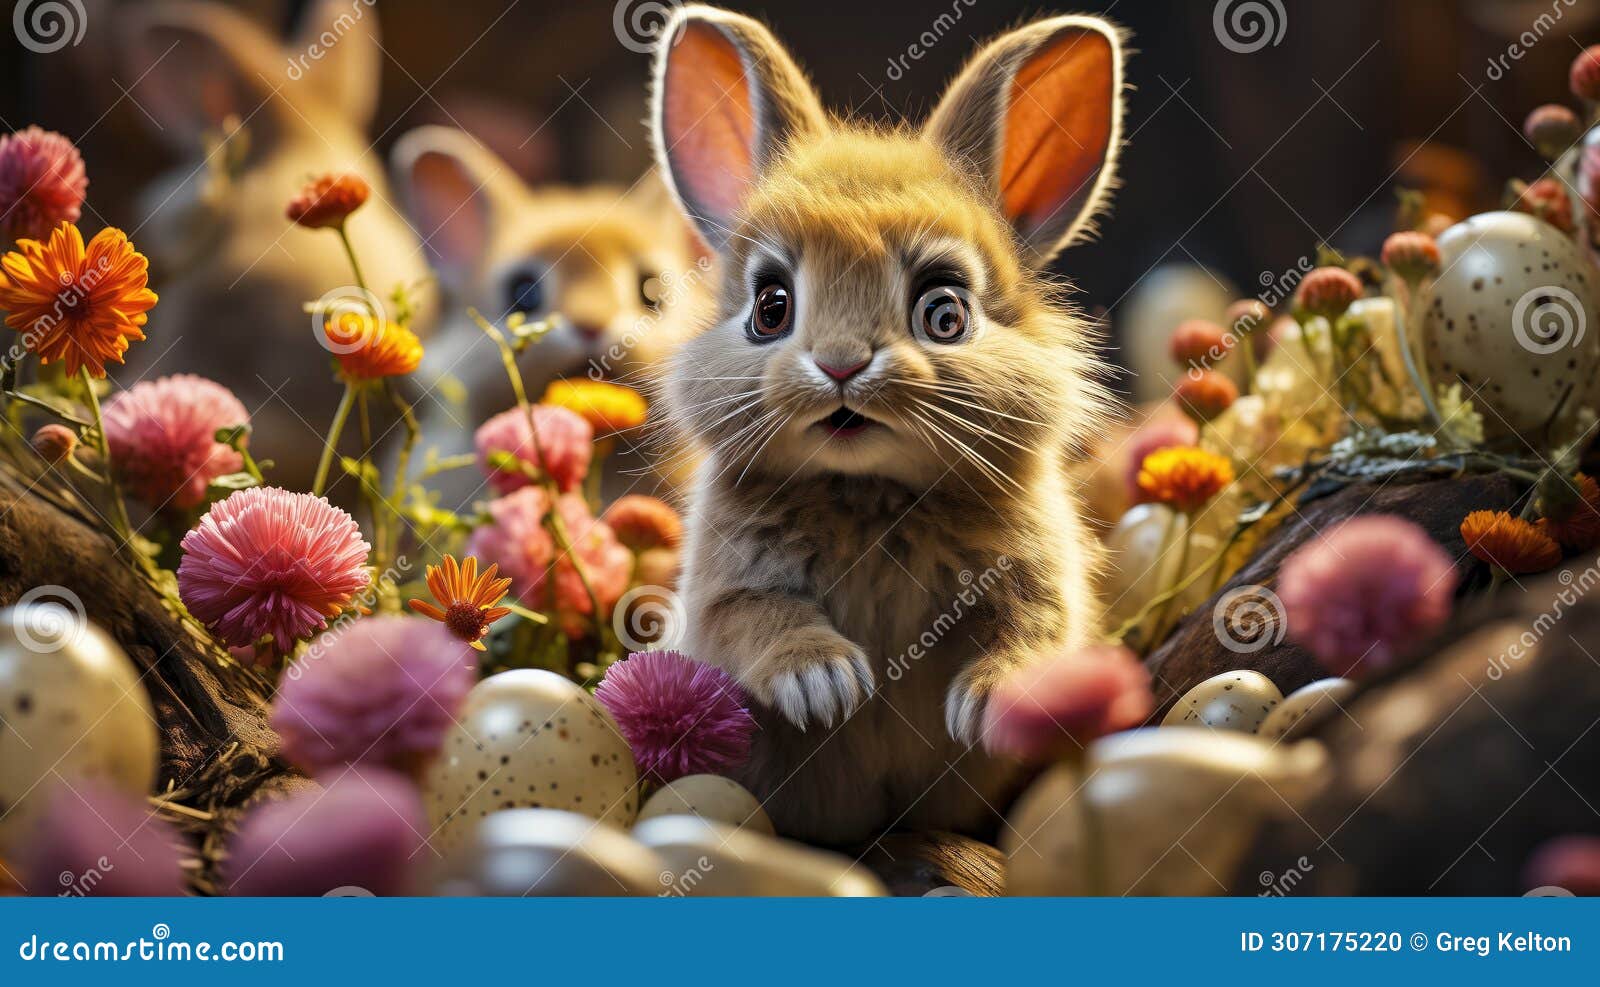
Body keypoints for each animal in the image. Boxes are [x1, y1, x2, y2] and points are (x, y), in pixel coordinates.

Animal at [650, 5, 1125, 845]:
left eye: (946, 312)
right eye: (770, 306)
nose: (840, 365)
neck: (869, 491)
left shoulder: (1039, 583)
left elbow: (1031, 630)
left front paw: (988, 704)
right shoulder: (726, 592)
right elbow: (761, 621)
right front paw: (828, 682)